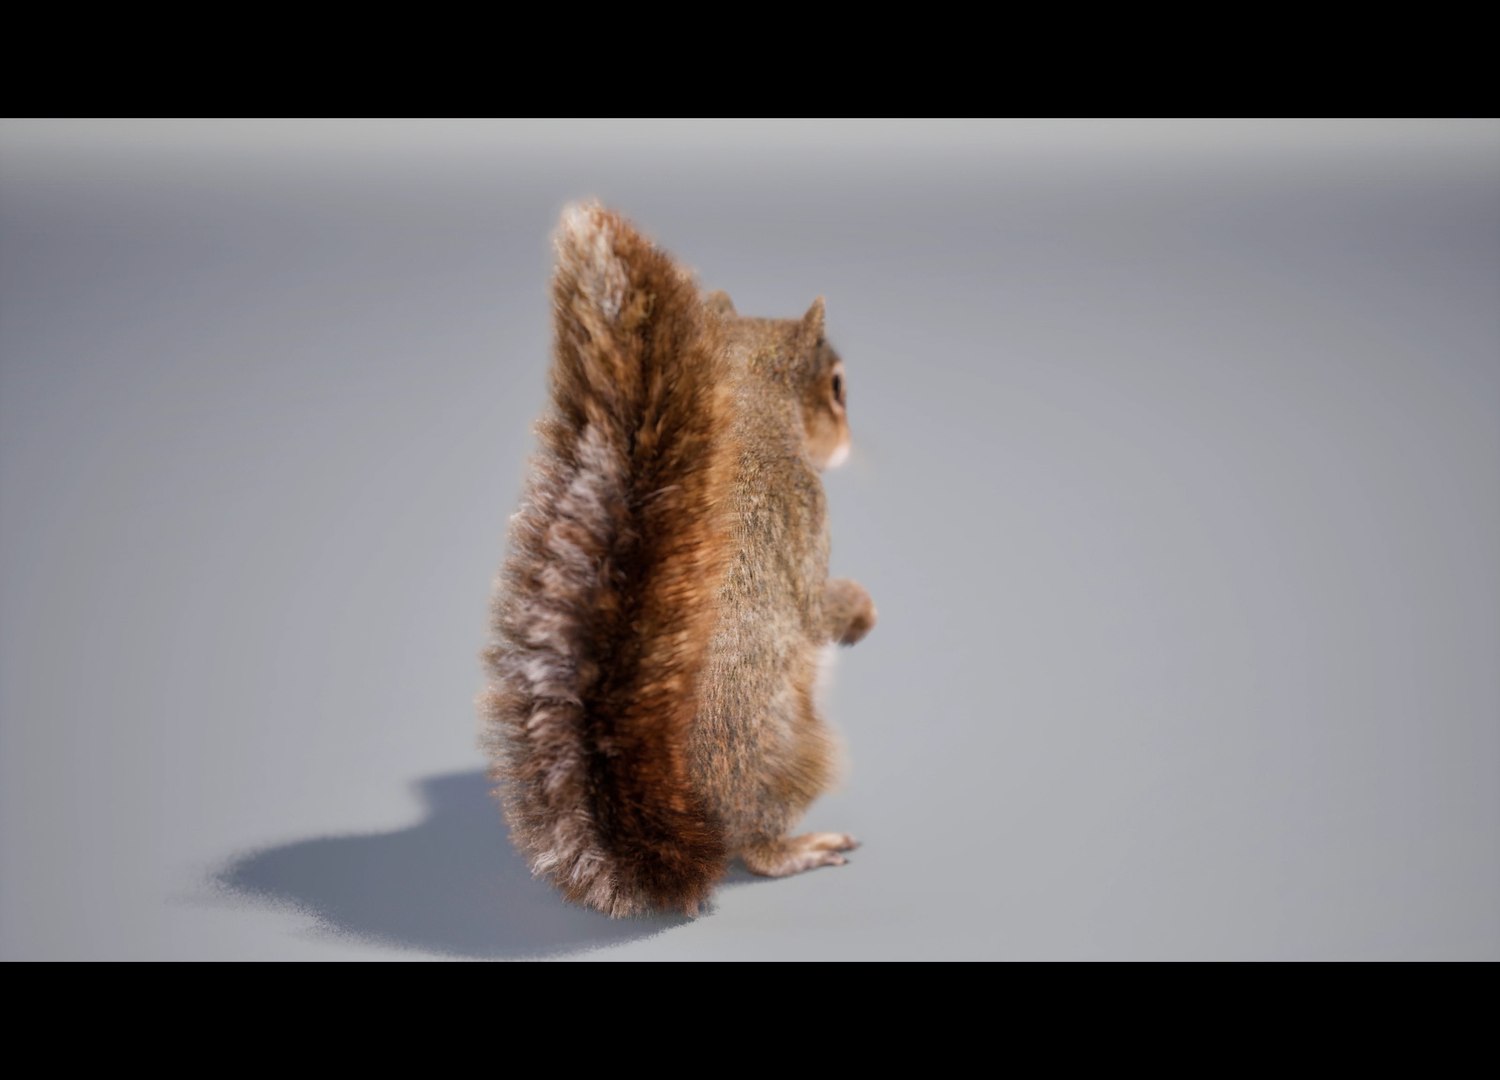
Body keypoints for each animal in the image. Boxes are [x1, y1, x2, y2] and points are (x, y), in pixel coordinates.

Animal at [481, 203, 877, 917]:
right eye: (837, 386)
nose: (845, 439)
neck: (746, 409)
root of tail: (685, 821)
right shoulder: (806, 514)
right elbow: (815, 607)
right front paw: (860, 611)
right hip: (793, 753)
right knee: (758, 850)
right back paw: (800, 847)